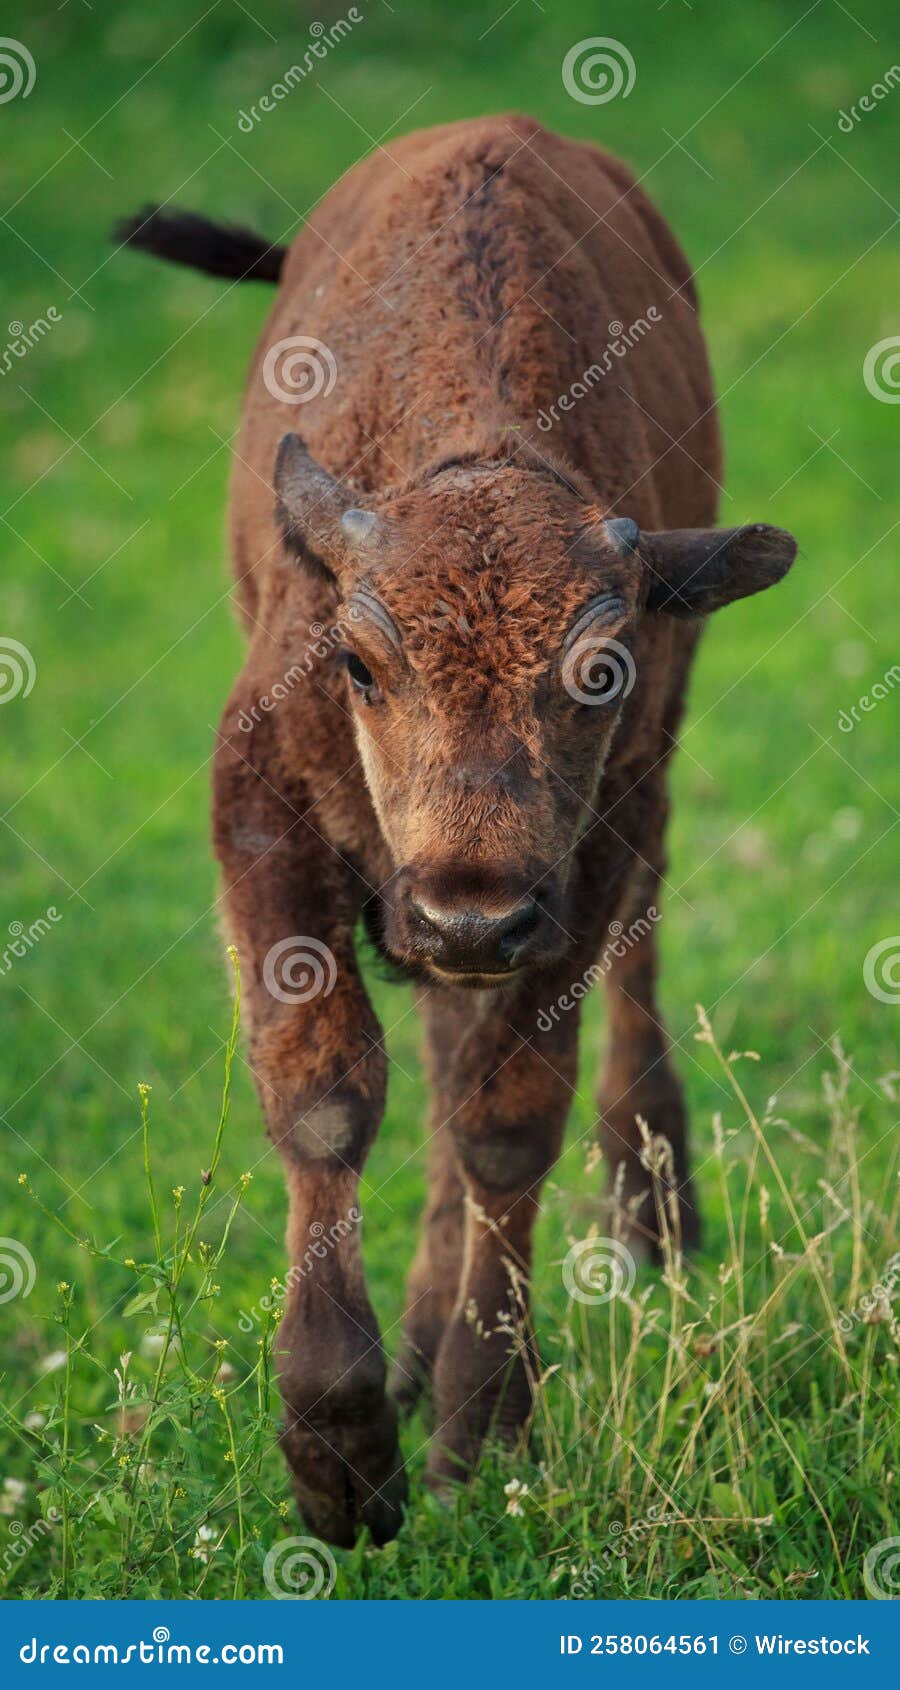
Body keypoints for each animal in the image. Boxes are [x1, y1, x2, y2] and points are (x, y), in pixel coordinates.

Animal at [117, 114, 796, 1548]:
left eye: (601, 667)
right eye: (360, 663)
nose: (471, 911)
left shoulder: (578, 867)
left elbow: (506, 1120)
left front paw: (478, 1435)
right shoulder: (266, 822)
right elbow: (325, 1097)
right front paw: (341, 1463)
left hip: (636, 804)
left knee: (618, 977)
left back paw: (644, 1212)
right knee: (428, 1036)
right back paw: (417, 1344)